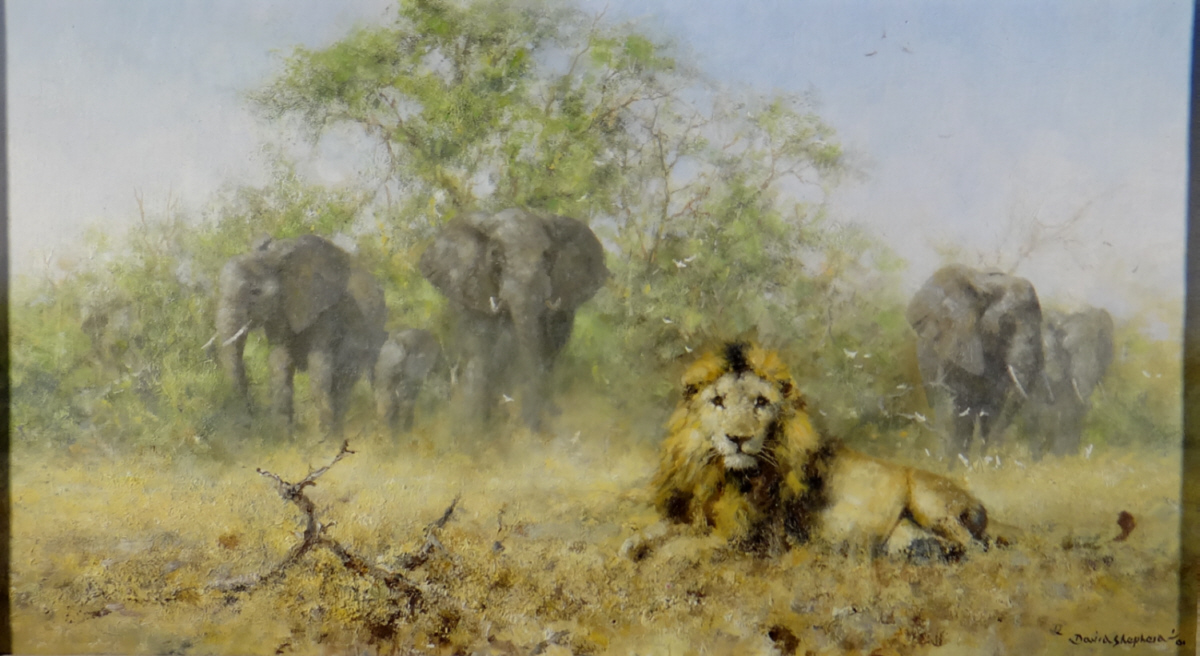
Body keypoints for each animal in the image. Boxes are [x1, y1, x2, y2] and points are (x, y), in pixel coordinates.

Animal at [625, 341, 990, 561]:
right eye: (718, 401)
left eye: (761, 403)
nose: (738, 437)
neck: (722, 474)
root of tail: (976, 503)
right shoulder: (693, 514)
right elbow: (655, 533)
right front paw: (635, 543)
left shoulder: (753, 540)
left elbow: (679, 548)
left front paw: (660, 555)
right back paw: (924, 550)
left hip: (928, 500)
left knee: (975, 546)